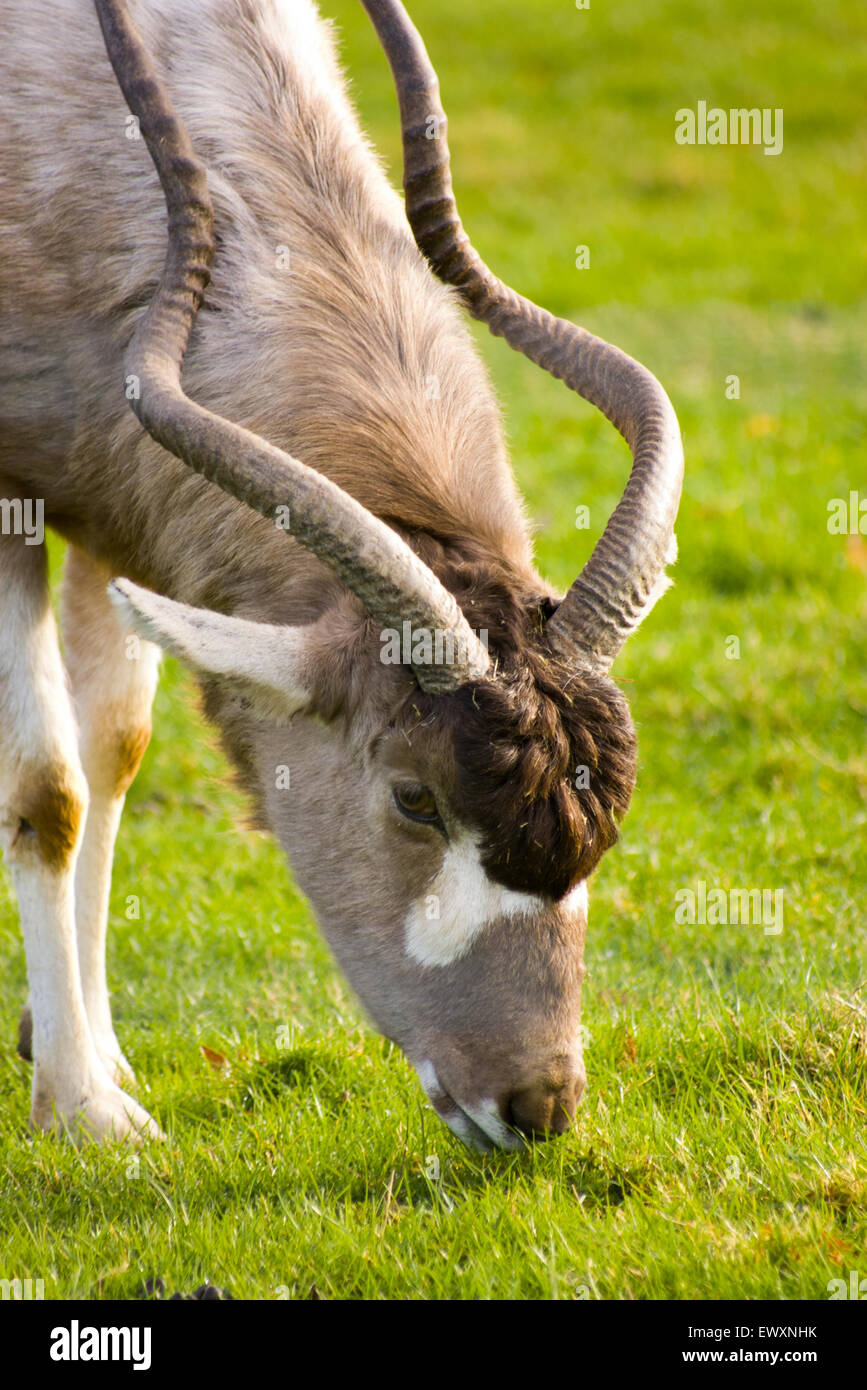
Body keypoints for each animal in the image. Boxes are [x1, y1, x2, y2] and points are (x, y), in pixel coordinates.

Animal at [0, 0, 682, 1149]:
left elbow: (113, 755)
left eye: (604, 817)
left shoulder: (113, 503)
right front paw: (85, 1111)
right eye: (414, 797)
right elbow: (47, 790)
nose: (535, 1105)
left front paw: (90, 1059)